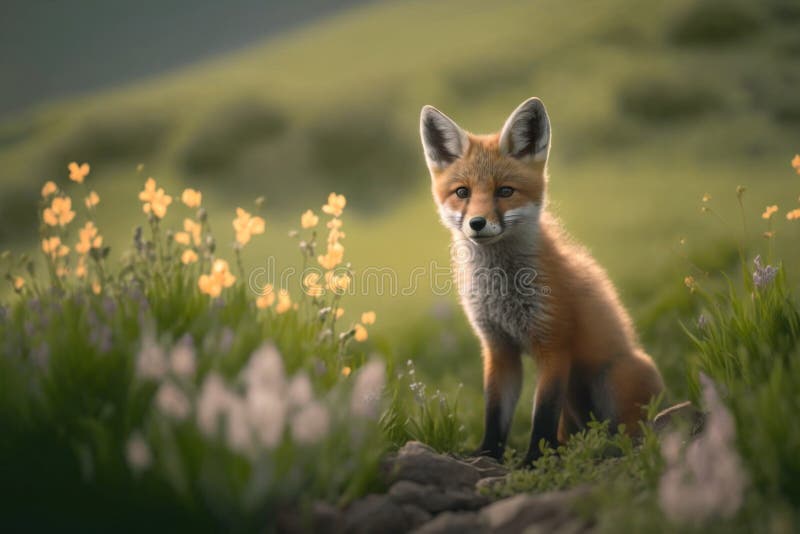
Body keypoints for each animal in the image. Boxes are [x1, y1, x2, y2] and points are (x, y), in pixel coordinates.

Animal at [419, 97, 664, 466]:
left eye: (505, 191)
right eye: (462, 192)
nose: (477, 223)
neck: (502, 290)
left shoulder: (554, 345)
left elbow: (543, 415)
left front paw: (535, 460)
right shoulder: (498, 348)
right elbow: (495, 413)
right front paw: (487, 455)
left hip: (613, 380)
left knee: (629, 431)